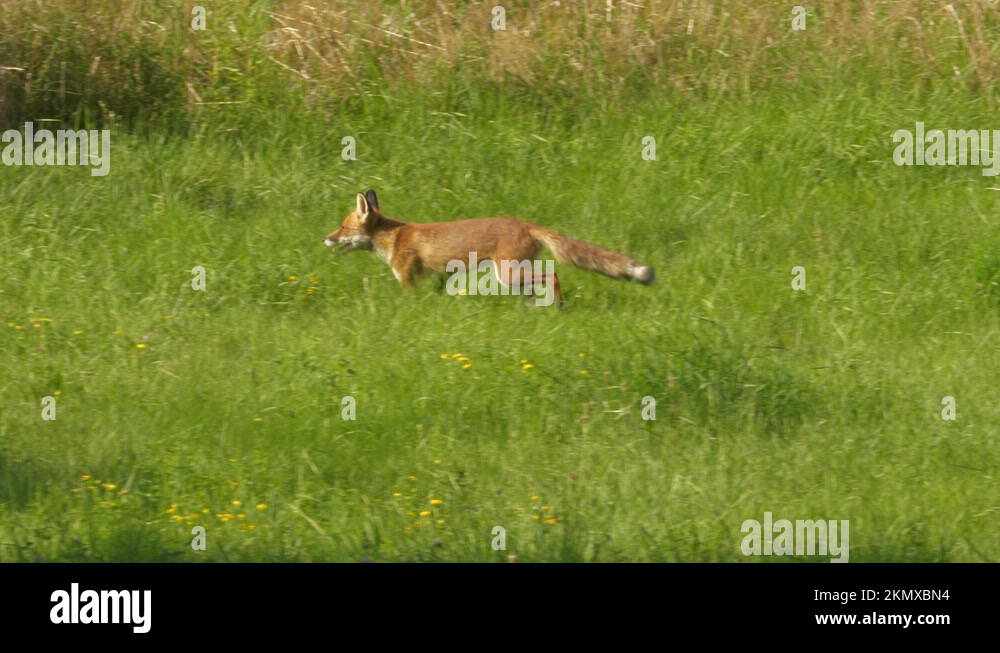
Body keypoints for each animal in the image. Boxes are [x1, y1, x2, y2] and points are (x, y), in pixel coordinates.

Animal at [323, 189, 654, 305]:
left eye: (342, 227)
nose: (325, 238)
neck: (395, 236)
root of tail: (524, 223)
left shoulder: (408, 280)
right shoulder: (437, 281)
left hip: (507, 275)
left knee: (554, 277)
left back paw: (558, 307)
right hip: (515, 278)